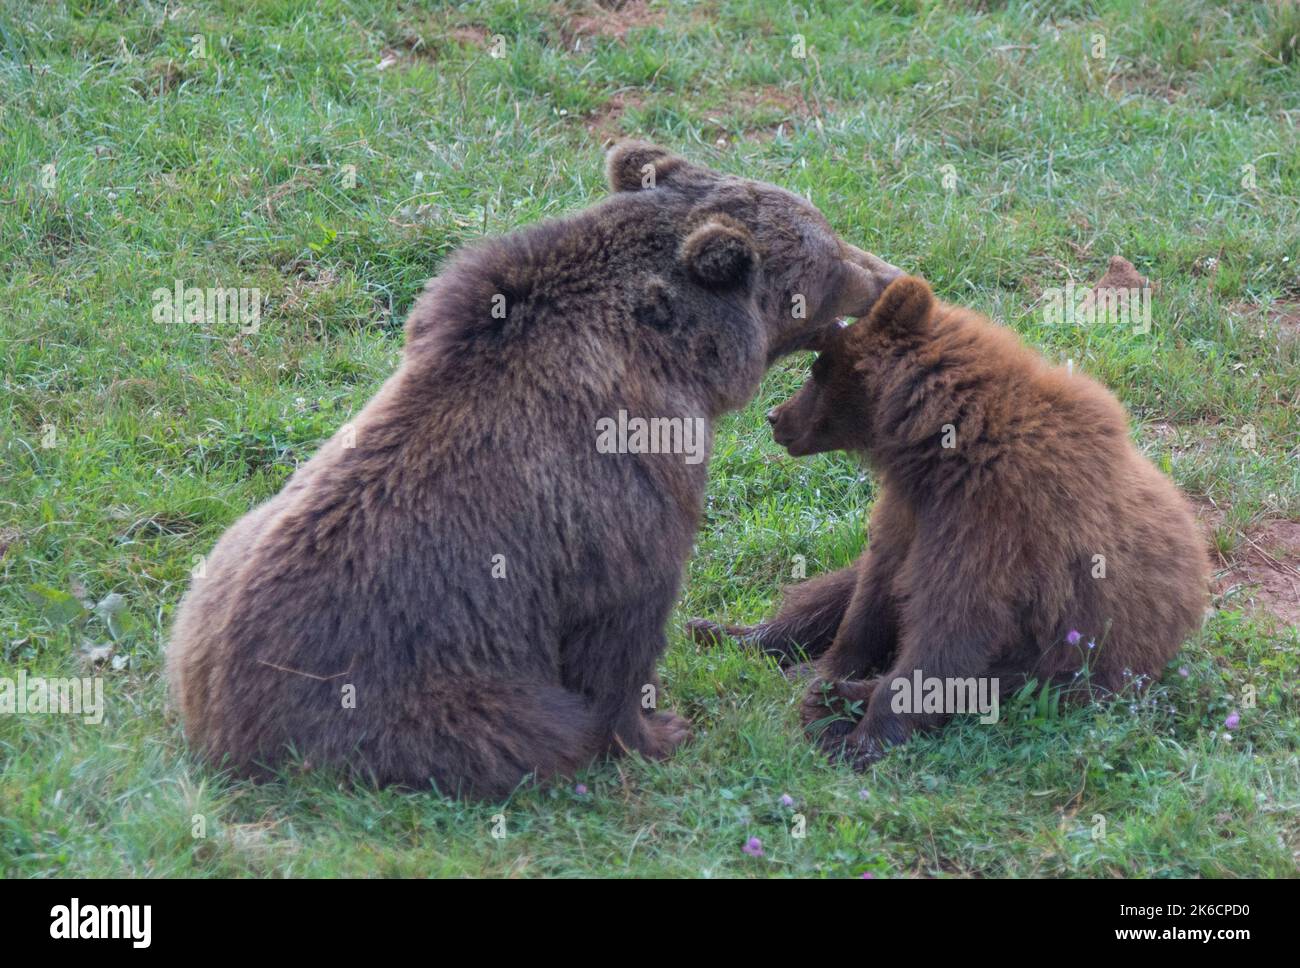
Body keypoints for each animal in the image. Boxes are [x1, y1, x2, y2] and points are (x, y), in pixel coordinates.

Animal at [166, 140, 902, 799]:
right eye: (830, 254)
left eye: (828, 230)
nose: (889, 274)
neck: (675, 359)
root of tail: (220, 731)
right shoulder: (621, 487)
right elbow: (620, 629)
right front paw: (659, 730)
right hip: (430, 697)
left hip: (224, 554)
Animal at [690, 275, 1209, 769]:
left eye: (818, 372)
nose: (775, 416)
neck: (948, 449)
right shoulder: (912, 511)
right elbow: (871, 593)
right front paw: (823, 670)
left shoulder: (996, 522)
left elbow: (949, 630)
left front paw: (861, 736)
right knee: (831, 591)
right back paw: (726, 634)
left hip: (1075, 661)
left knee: (999, 683)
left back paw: (835, 704)